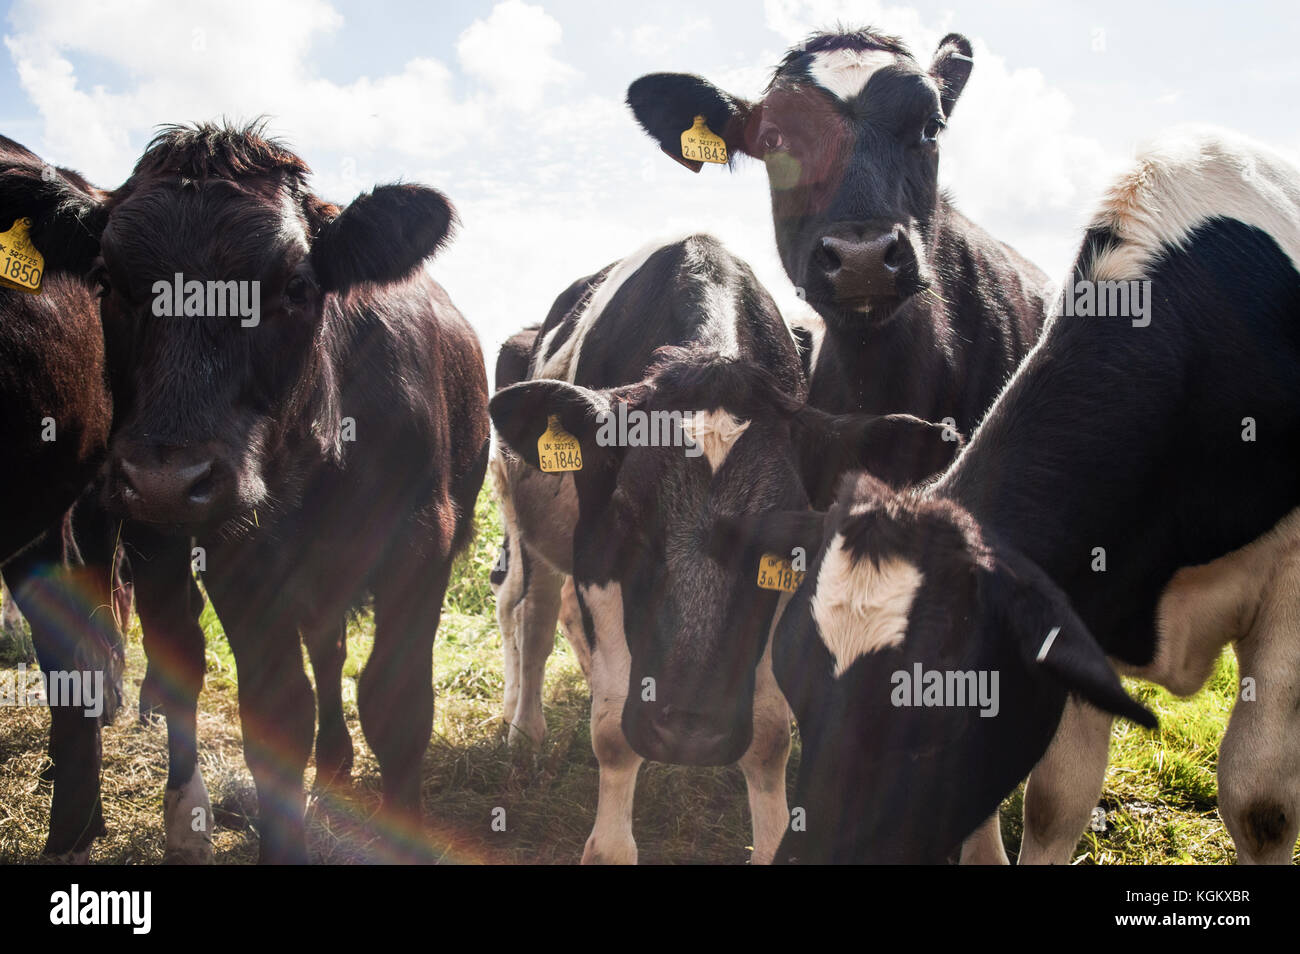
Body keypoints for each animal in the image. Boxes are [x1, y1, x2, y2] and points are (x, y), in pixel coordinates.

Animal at [12, 121, 491, 863]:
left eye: (294, 286)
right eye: (107, 281)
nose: (165, 480)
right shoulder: (235, 551)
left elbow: (397, 706)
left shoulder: (421, 542)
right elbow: (276, 714)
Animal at [490, 232, 957, 863]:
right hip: (527, 526)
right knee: (532, 617)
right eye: (627, 515)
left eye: (783, 532)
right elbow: (613, 734)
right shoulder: (596, 553)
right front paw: (609, 844)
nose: (688, 731)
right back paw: (524, 730)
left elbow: (769, 735)